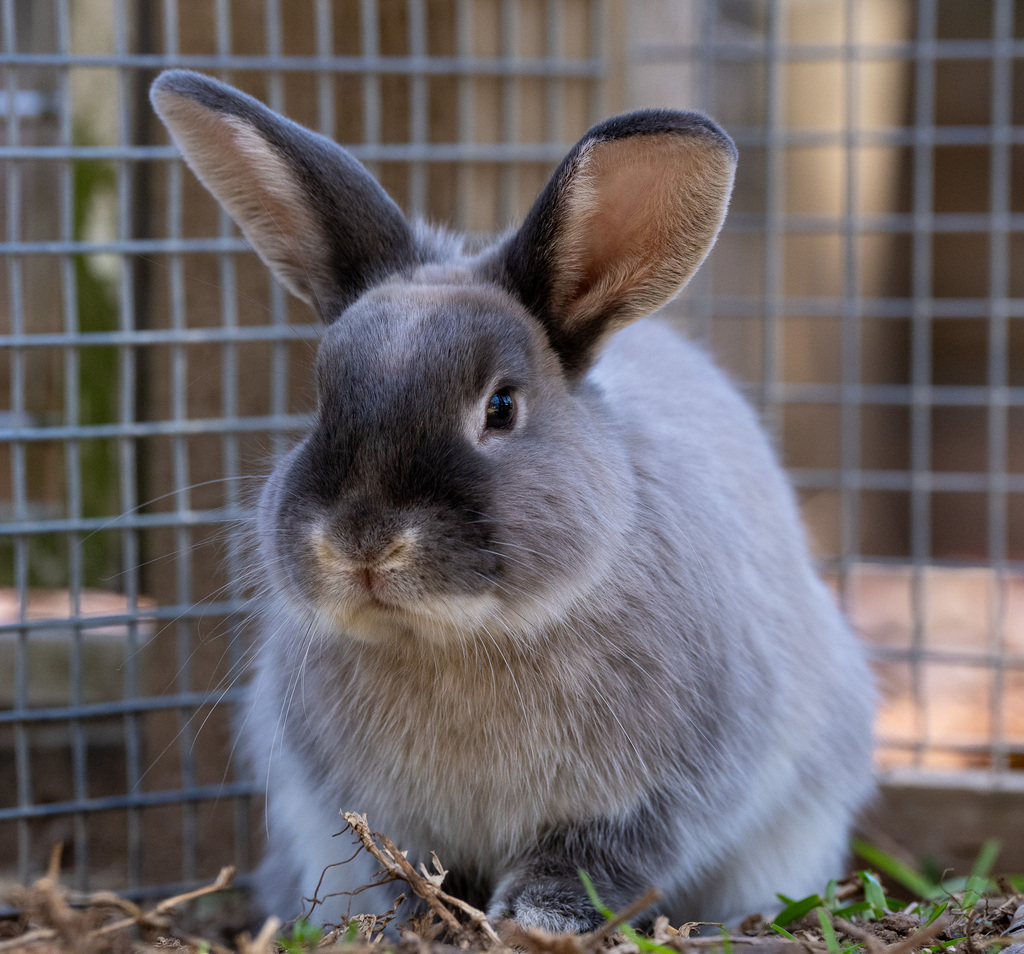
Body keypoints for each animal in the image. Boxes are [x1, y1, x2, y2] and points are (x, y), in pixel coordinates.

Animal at [150, 69, 876, 934]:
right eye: (321, 398)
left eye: (500, 407)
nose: (362, 542)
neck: (457, 641)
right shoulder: (359, 806)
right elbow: (390, 865)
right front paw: (412, 922)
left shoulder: (658, 794)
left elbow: (596, 858)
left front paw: (540, 918)